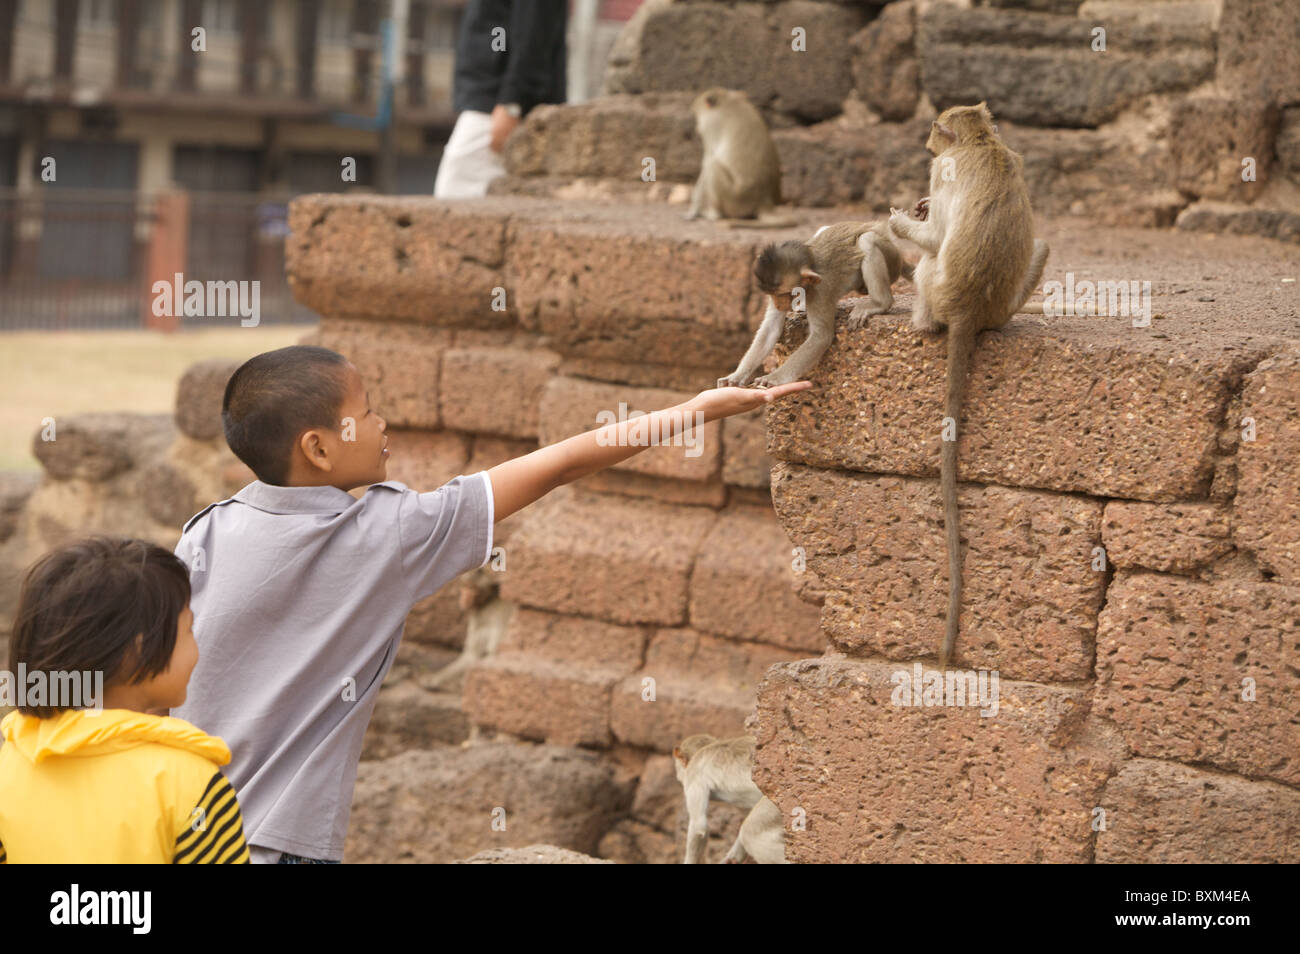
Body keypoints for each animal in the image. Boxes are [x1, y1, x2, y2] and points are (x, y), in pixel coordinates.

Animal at [672, 733, 788, 864]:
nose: (679, 777)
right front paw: (732, 858)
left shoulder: (693, 773)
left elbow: (698, 827)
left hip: (778, 802)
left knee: (750, 833)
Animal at [687, 87, 798, 229]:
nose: (696, 127)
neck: (726, 101)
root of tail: (764, 200)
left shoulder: (710, 127)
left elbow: (707, 161)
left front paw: (694, 210)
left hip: (734, 199)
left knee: (712, 166)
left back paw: (713, 214)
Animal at [717, 221, 913, 389]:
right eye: (773, 296)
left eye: (785, 294)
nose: (779, 304)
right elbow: (770, 329)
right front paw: (736, 376)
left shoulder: (821, 292)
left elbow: (821, 336)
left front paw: (774, 378)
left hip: (892, 258)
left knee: (868, 239)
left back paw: (880, 302)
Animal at [886, 102, 1050, 670]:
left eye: (935, 132)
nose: (924, 141)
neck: (982, 143)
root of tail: (970, 314)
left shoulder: (944, 169)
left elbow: (934, 236)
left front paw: (904, 219)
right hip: (997, 309)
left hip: (935, 287)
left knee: (927, 264)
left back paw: (916, 320)